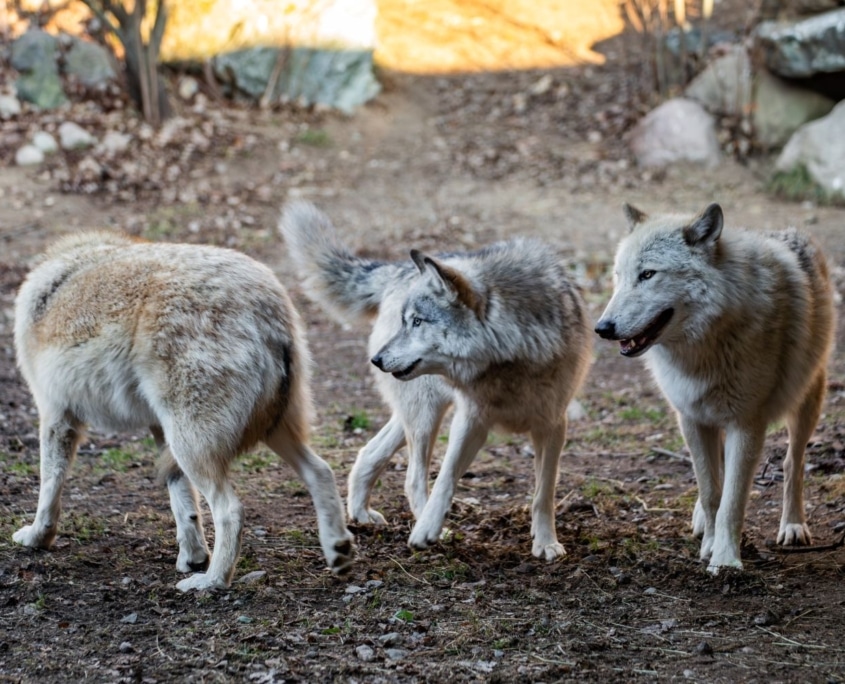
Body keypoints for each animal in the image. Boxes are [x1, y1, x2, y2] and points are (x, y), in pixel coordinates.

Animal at [13, 231, 354, 591]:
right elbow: (183, 502)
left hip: (194, 444)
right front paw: (193, 556)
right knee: (321, 472)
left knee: (231, 509)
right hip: (252, 432)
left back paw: (212, 581)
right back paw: (338, 550)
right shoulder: (158, 430)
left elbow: (49, 485)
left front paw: (36, 538)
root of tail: (266, 308)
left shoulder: (56, 415)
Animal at [280, 202, 593, 560]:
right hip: (426, 414)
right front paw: (427, 530)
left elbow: (544, 492)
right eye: (406, 322)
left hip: (419, 413)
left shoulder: (553, 424)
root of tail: (398, 269)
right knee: (412, 478)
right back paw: (427, 528)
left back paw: (361, 515)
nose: (377, 359)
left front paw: (546, 543)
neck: (511, 357)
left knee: (369, 453)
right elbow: (444, 479)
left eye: (417, 322)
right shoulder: (470, 419)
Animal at [595, 203, 835, 573]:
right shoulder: (691, 419)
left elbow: (732, 502)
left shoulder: (746, 425)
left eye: (648, 274)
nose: (602, 328)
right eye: (619, 276)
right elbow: (712, 493)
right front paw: (708, 546)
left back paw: (793, 525)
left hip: (808, 402)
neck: (704, 349)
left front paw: (726, 560)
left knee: (792, 464)